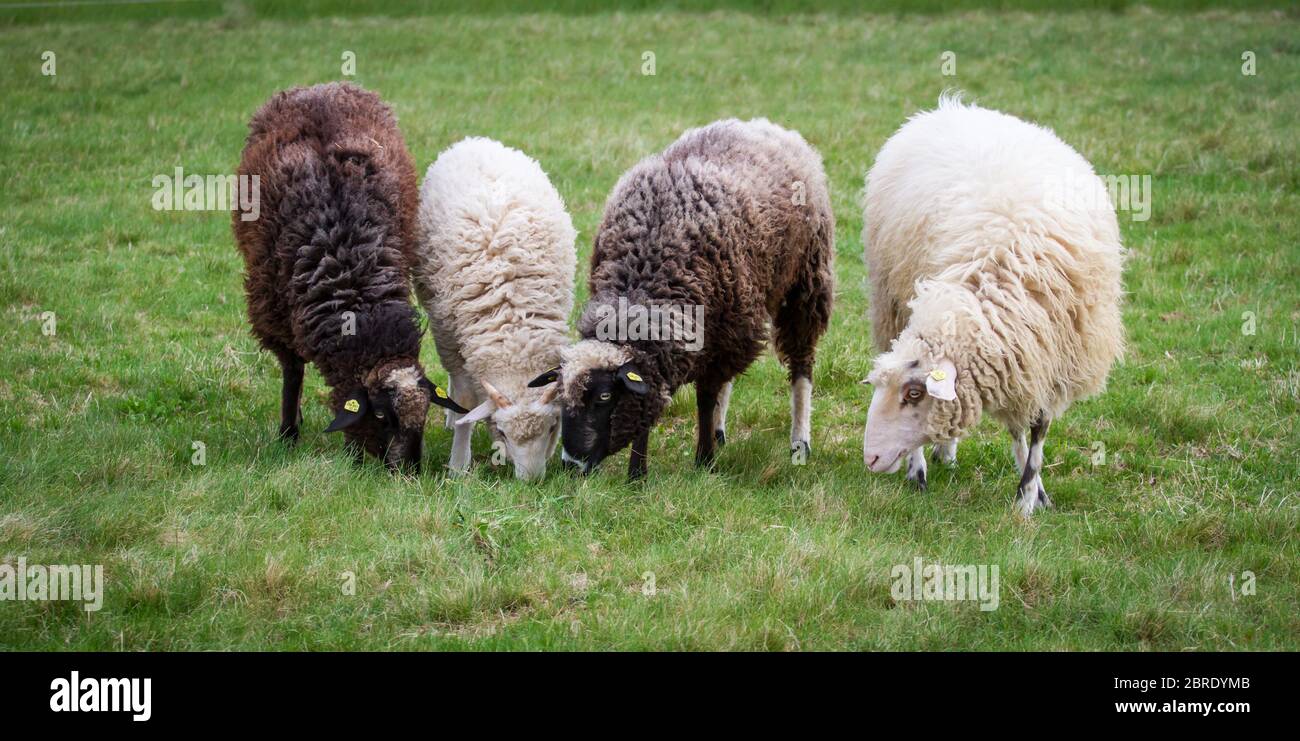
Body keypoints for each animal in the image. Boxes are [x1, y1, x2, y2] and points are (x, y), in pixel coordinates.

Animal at [234, 82, 466, 473]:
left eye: (423, 416)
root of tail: (319, 88)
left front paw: (351, 454)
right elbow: (292, 371)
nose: (410, 473)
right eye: (381, 416)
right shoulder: (273, 306)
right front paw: (288, 435)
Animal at [410, 137, 577, 480]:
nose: (532, 482)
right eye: (502, 432)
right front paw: (458, 464)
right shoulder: (449, 332)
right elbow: (464, 396)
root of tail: (475, 141)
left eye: (552, 427)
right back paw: (452, 419)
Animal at [527, 118, 835, 480]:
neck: (643, 284)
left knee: (801, 363)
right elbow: (651, 403)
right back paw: (720, 431)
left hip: (805, 283)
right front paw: (638, 475)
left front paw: (704, 459)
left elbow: (704, 397)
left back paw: (799, 441)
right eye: (561, 397)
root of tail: (761, 125)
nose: (571, 465)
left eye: (604, 396)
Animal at [860, 95, 1125, 516]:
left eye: (914, 394)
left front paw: (1030, 494)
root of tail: (950, 107)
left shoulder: (1043, 358)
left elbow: (1035, 428)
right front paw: (919, 473)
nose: (870, 458)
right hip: (891, 301)